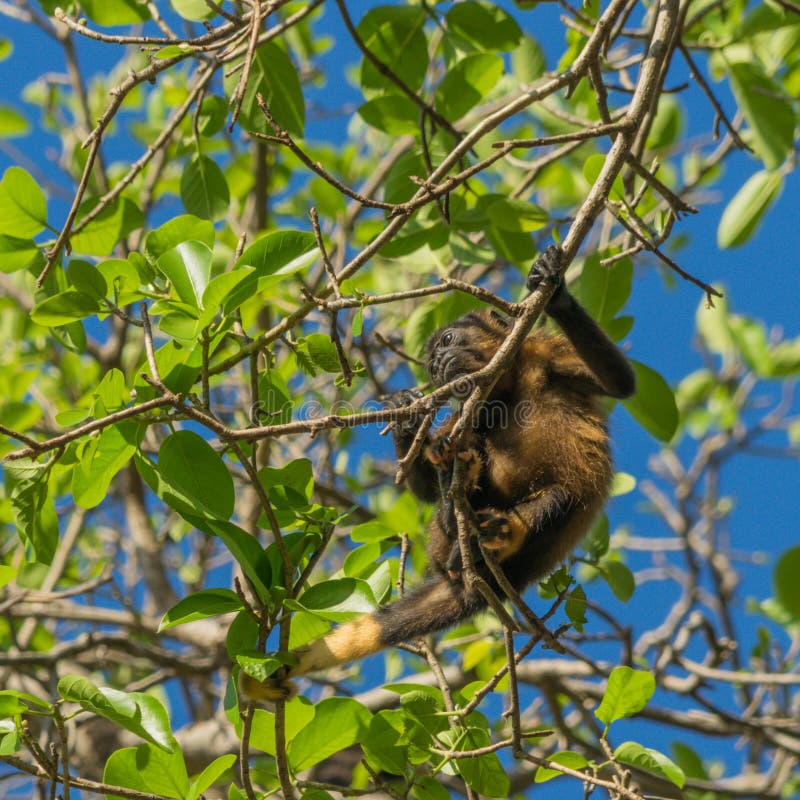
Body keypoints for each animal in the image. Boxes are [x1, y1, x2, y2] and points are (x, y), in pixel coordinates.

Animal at [240, 245, 636, 701]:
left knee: (564, 495)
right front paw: (409, 423)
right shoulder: (470, 406)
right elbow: (428, 482)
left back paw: (503, 530)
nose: (442, 361)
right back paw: (457, 501)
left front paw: (555, 294)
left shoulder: (548, 355)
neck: (509, 384)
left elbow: (621, 382)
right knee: (463, 473)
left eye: (447, 340)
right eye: (430, 366)